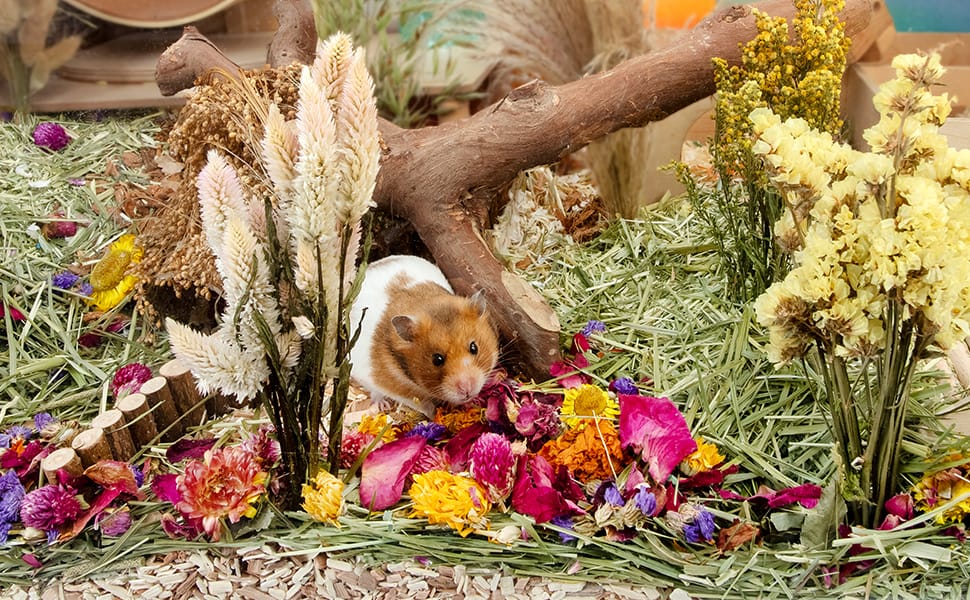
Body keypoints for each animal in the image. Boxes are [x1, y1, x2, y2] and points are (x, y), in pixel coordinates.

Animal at [349, 255, 500, 416]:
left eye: (474, 348)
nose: (467, 390)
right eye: (437, 359)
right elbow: (424, 405)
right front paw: (436, 416)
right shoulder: (399, 389)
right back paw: (382, 405)